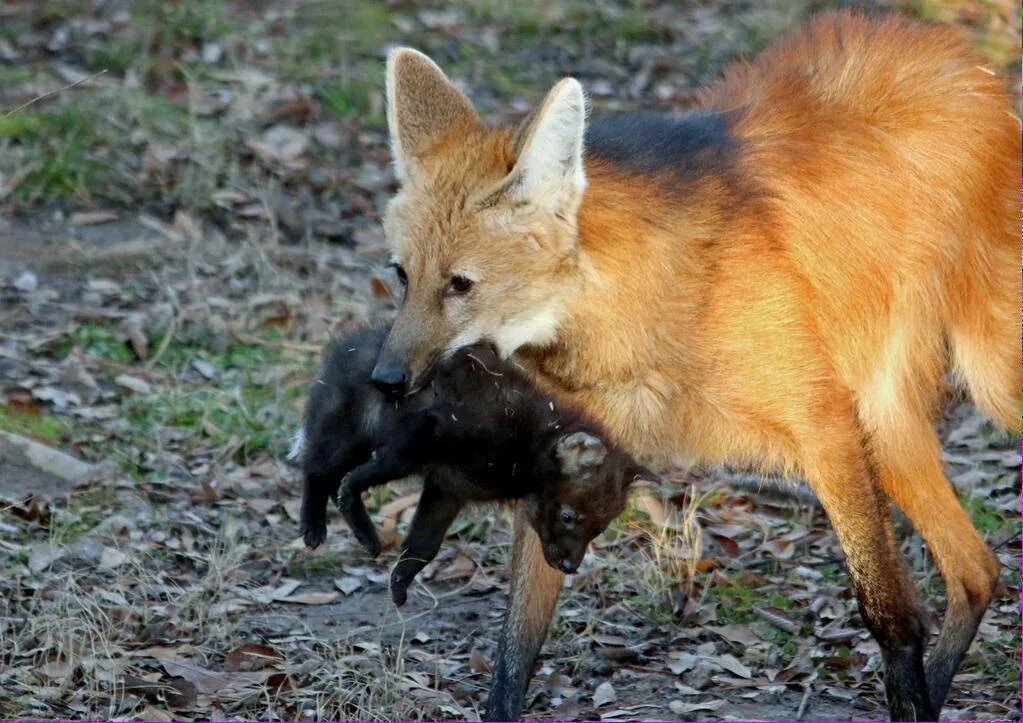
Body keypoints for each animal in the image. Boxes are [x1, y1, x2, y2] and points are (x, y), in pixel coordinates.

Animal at [298, 331, 646, 609]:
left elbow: (425, 545)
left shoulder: (447, 490)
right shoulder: (425, 432)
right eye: (568, 516)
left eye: (600, 527)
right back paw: (315, 526)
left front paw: (398, 583)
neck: (531, 446)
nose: (571, 567)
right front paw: (357, 516)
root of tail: (347, 345)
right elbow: (365, 477)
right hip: (350, 430)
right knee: (316, 468)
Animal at [368, 9, 1014, 723]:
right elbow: (515, 650)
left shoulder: (824, 428)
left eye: (460, 285)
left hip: (983, 378)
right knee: (977, 570)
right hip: (886, 419)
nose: (386, 379)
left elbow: (890, 613)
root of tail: (963, 60)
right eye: (403, 275)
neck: (625, 318)